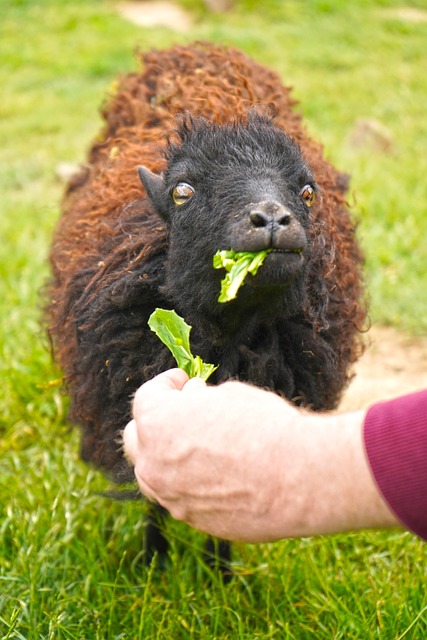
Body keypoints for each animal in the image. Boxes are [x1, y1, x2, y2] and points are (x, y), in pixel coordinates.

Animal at [47, 42, 367, 567]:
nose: (271, 218)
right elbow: (152, 496)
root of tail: (202, 47)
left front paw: (221, 569)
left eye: (307, 191)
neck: (229, 335)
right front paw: (155, 563)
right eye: (183, 191)